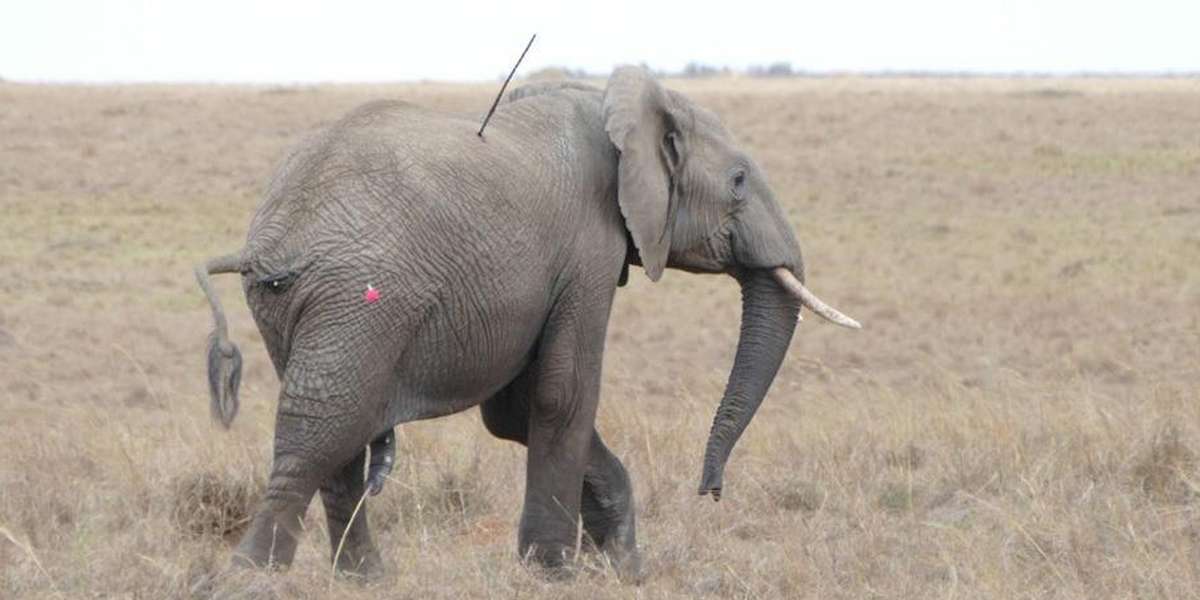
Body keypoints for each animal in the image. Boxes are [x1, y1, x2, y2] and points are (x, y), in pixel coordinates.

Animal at [194, 66, 860, 578]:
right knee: (322, 424)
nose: (710, 492)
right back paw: (252, 577)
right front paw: (555, 570)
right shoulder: (588, 248)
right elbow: (562, 394)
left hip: (292, 307)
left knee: (336, 433)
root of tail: (268, 241)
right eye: (740, 180)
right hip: (358, 298)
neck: (608, 99)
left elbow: (513, 411)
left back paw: (364, 580)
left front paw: (621, 564)